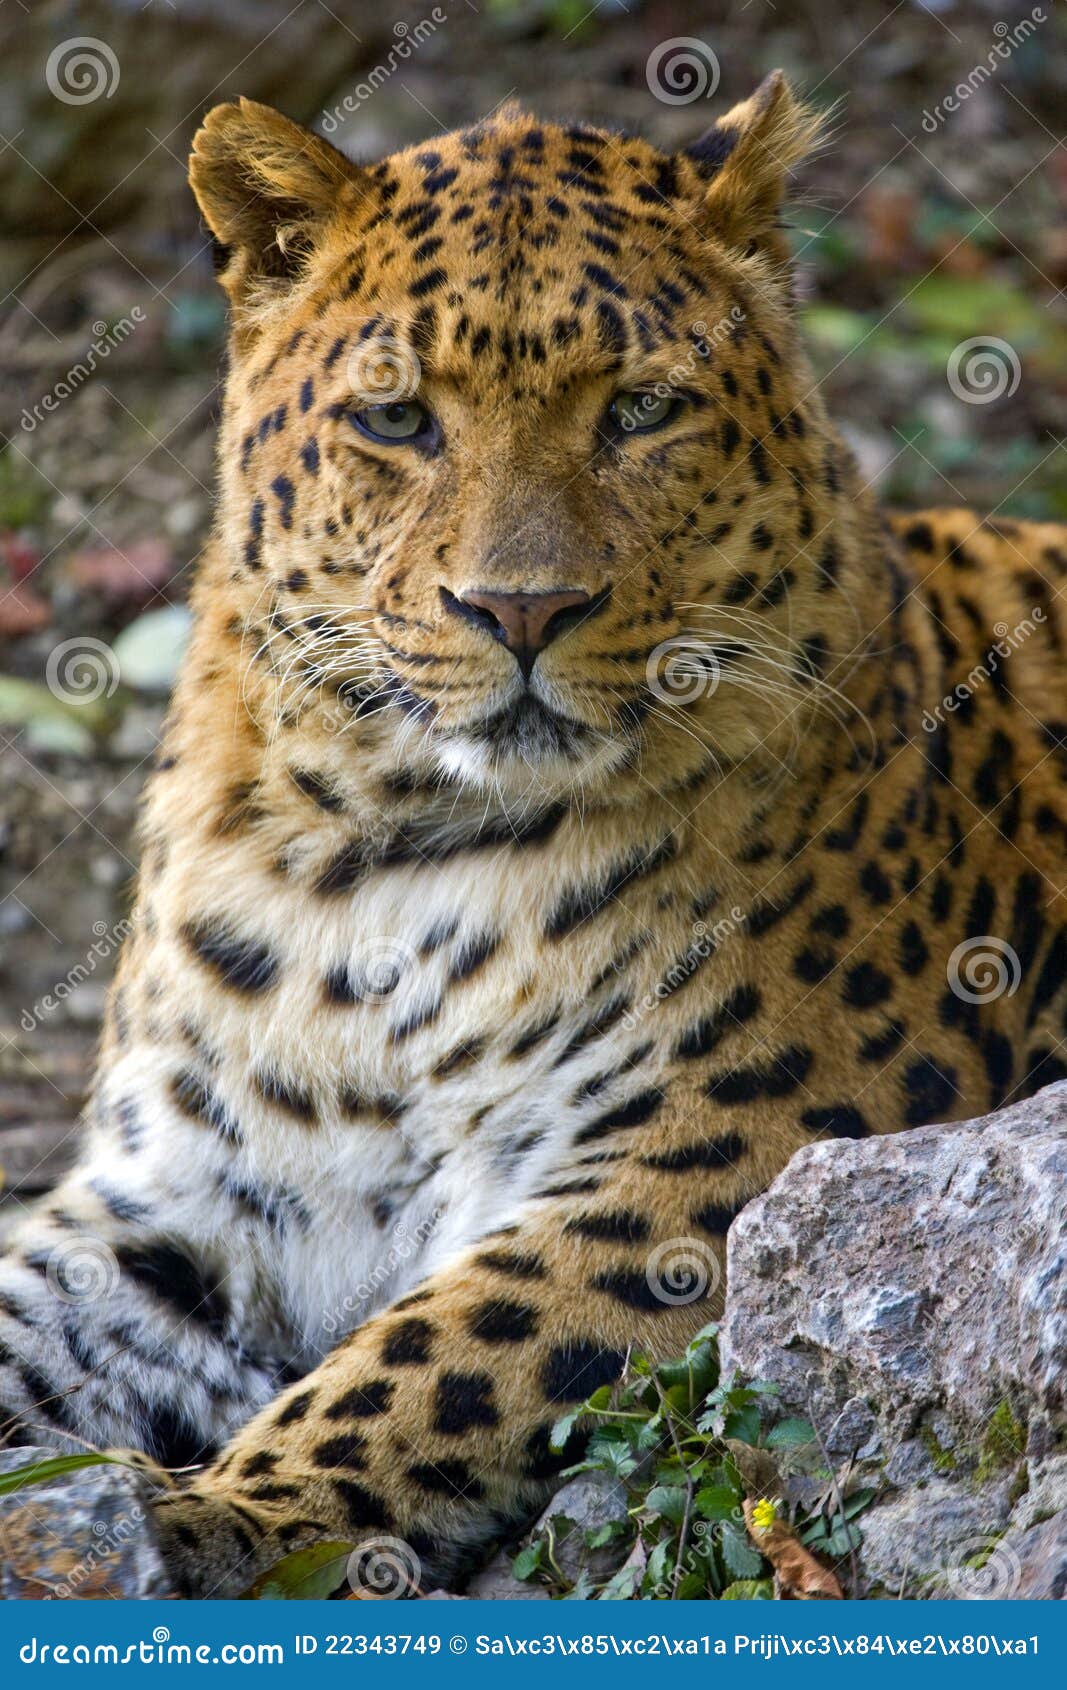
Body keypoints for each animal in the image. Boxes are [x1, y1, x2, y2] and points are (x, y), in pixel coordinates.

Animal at [2, 73, 1066, 1600]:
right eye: (396, 420)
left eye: (641, 409)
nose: (519, 608)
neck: (373, 860)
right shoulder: (175, 1206)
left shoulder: (704, 1164)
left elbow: (421, 1362)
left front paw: (212, 1518)